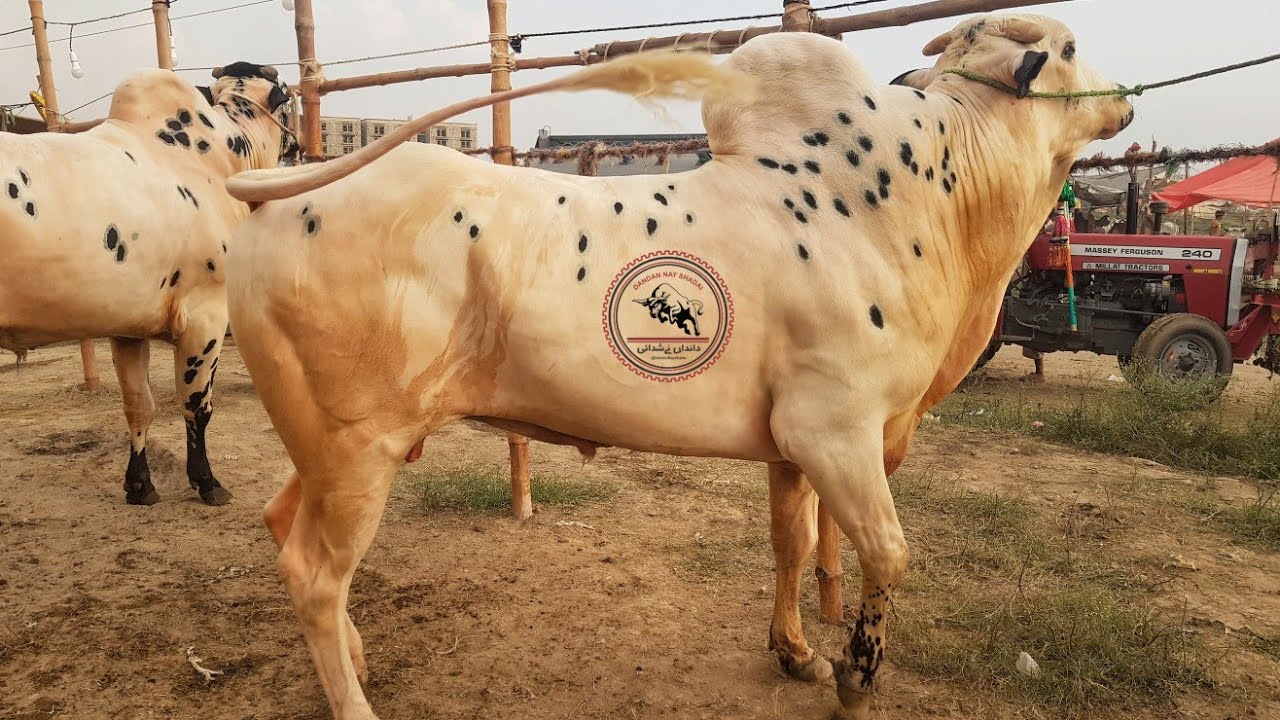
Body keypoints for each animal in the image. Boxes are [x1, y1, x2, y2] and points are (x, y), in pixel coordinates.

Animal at [0, 61, 295, 506]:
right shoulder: (205, 315)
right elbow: (196, 407)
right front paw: (207, 482)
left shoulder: (127, 329)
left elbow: (138, 406)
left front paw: (140, 485)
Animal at [223, 15, 1133, 719]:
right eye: (1071, 45)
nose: (1126, 97)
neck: (931, 197)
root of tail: (279, 191)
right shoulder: (837, 433)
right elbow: (887, 553)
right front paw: (855, 673)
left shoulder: (792, 450)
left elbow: (791, 544)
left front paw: (794, 652)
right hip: (359, 449)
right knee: (313, 573)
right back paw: (354, 699)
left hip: (332, 447)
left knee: (280, 524)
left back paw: (357, 656)